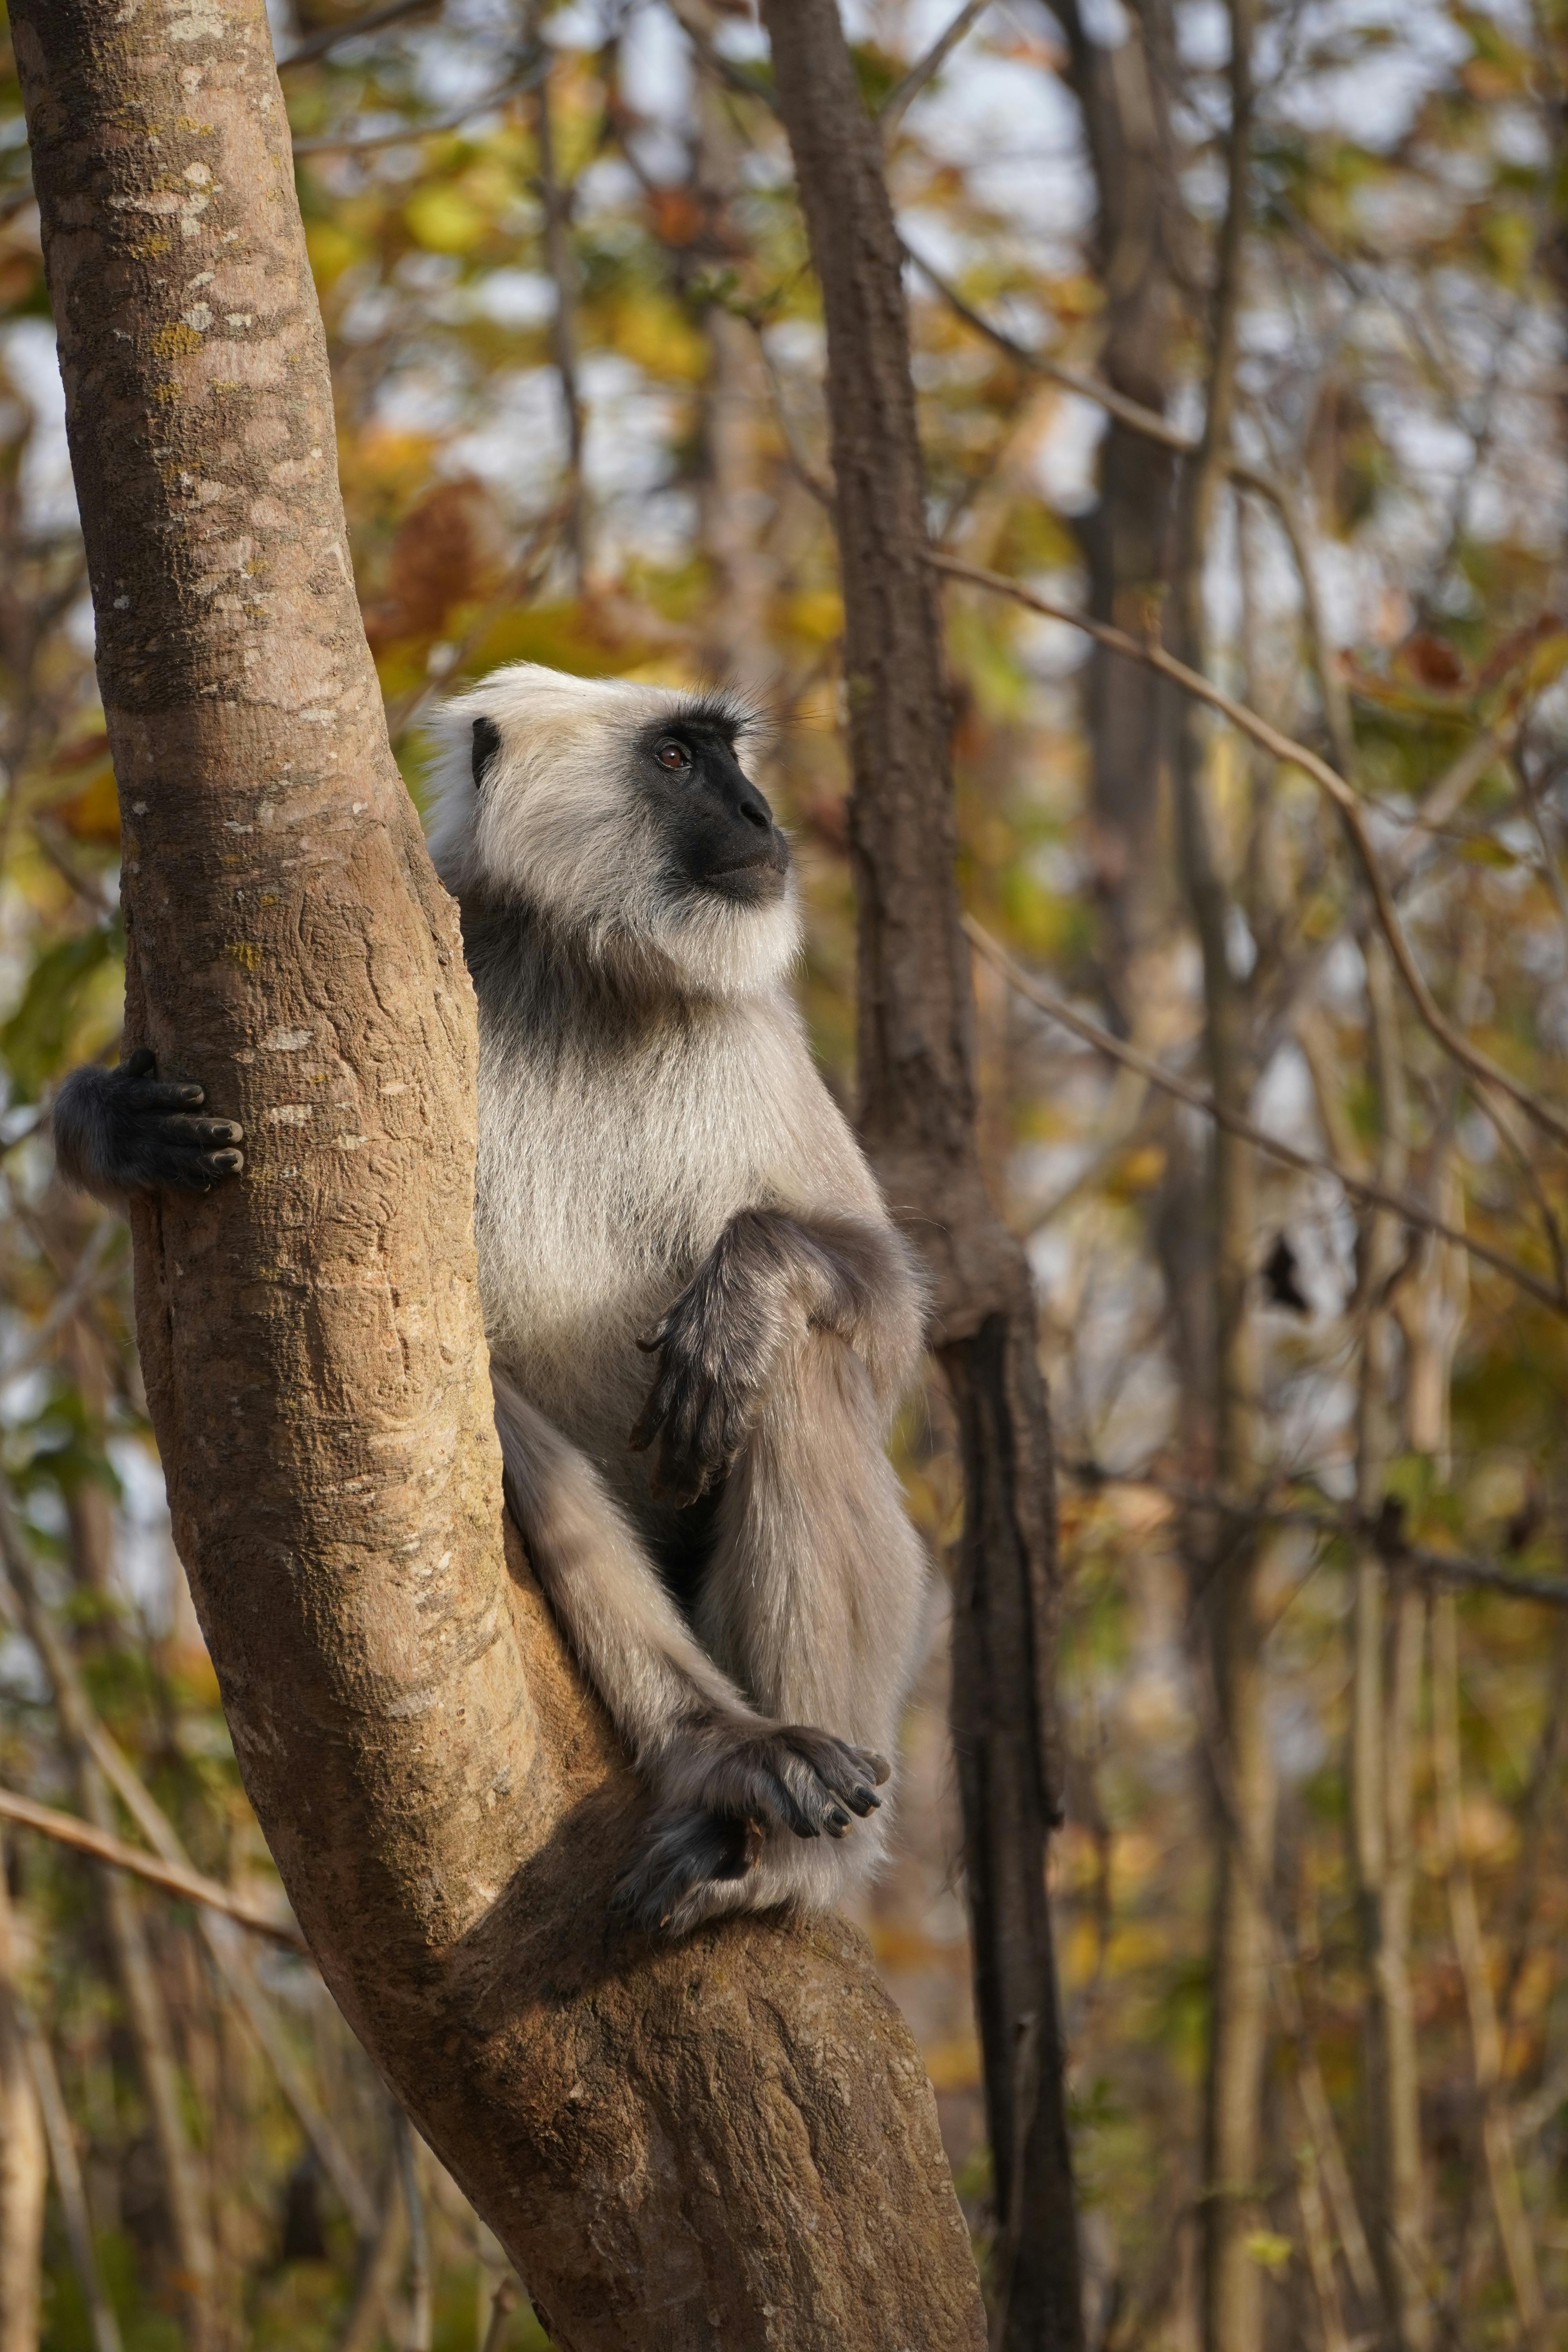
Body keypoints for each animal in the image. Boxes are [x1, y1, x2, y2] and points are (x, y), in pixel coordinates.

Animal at [52, 663, 930, 1936]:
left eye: (725, 757)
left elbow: (884, 1309)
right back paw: (720, 1747)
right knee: (489, 1397)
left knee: (794, 1368)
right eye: (678, 760)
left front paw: (745, 1288)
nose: (760, 815)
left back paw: (788, 1857)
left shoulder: (749, 1022)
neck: (582, 976)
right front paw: (109, 1125)